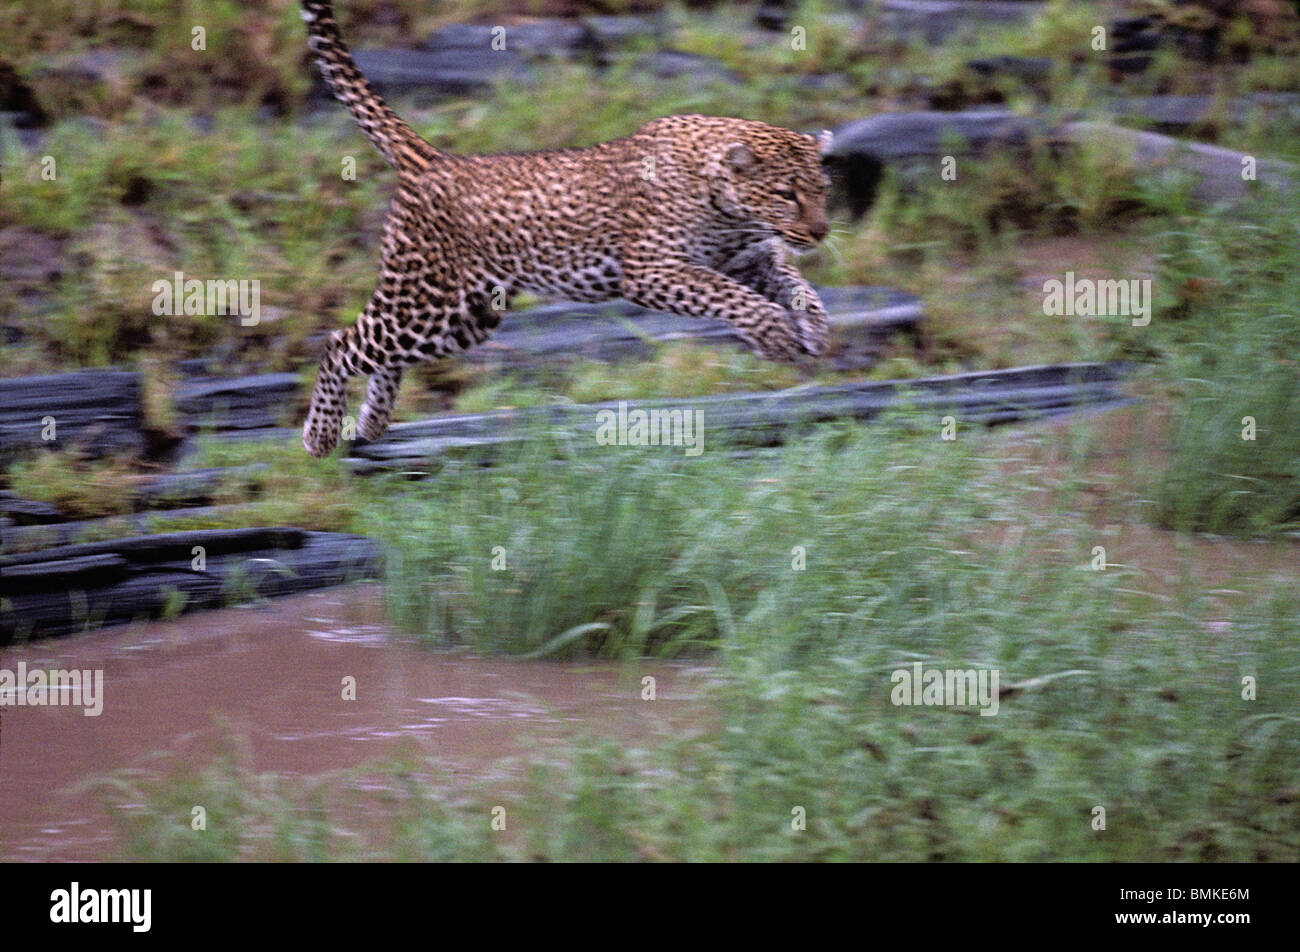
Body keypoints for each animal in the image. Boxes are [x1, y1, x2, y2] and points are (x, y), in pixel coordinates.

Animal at [299, 0, 833, 458]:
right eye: (787, 194)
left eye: (823, 189)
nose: (821, 232)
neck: (732, 212)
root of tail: (433, 159)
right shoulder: (652, 270)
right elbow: (729, 295)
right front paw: (775, 334)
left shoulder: (749, 259)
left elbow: (798, 287)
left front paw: (815, 333)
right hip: (424, 297)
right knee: (340, 343)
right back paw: (320, 435)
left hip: (464, 318)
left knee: (382, 355)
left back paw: (372, 421)